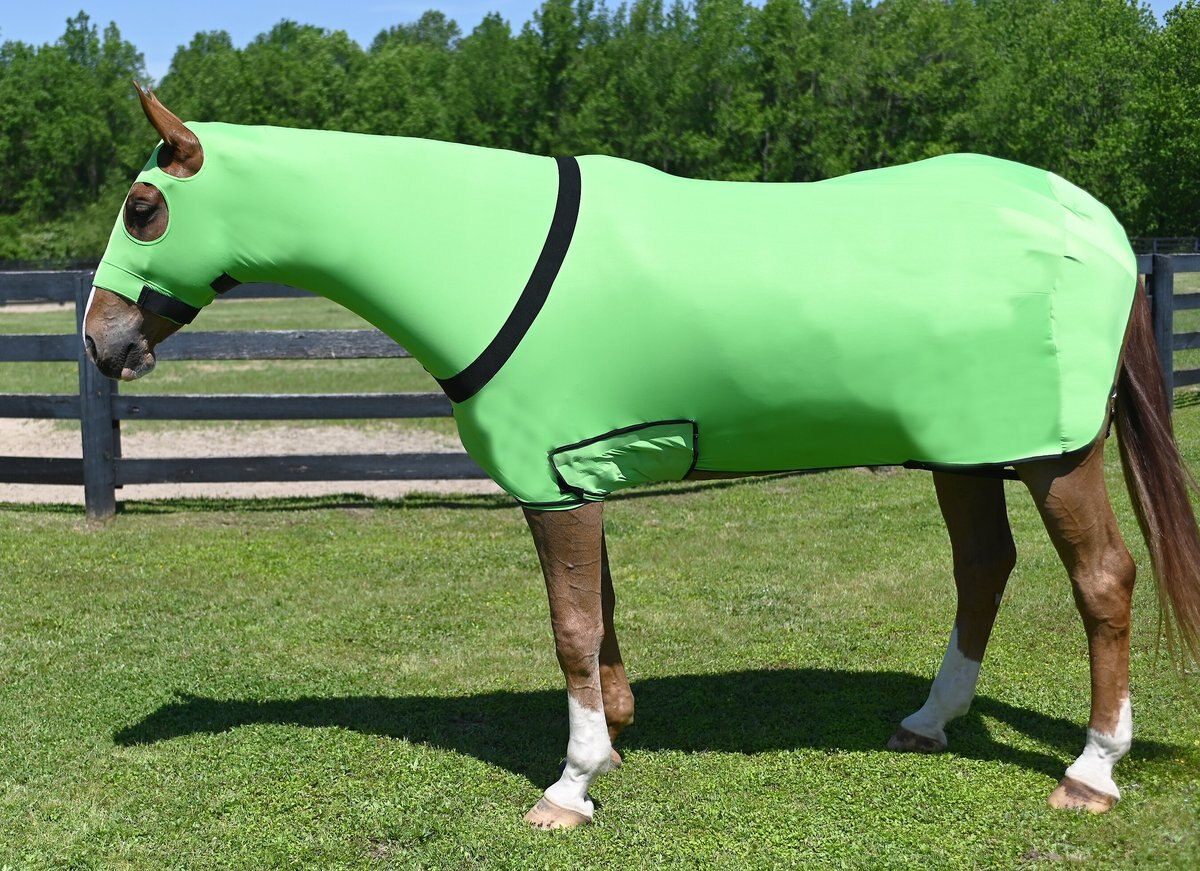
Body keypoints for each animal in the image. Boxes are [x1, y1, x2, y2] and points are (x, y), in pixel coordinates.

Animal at [83, 85, 1200, 829]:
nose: (100, 343)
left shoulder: (552, 481)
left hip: (1055, 453)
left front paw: (570, 784)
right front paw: (613, 737)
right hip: (964, 449)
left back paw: (1092, 770)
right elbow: (603, 610)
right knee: (984, 567)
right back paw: (929, 719)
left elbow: (571, 627)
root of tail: (1092, 219)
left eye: (143, 207)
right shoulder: (579, 472)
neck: (488, 251)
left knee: (1104, 579)